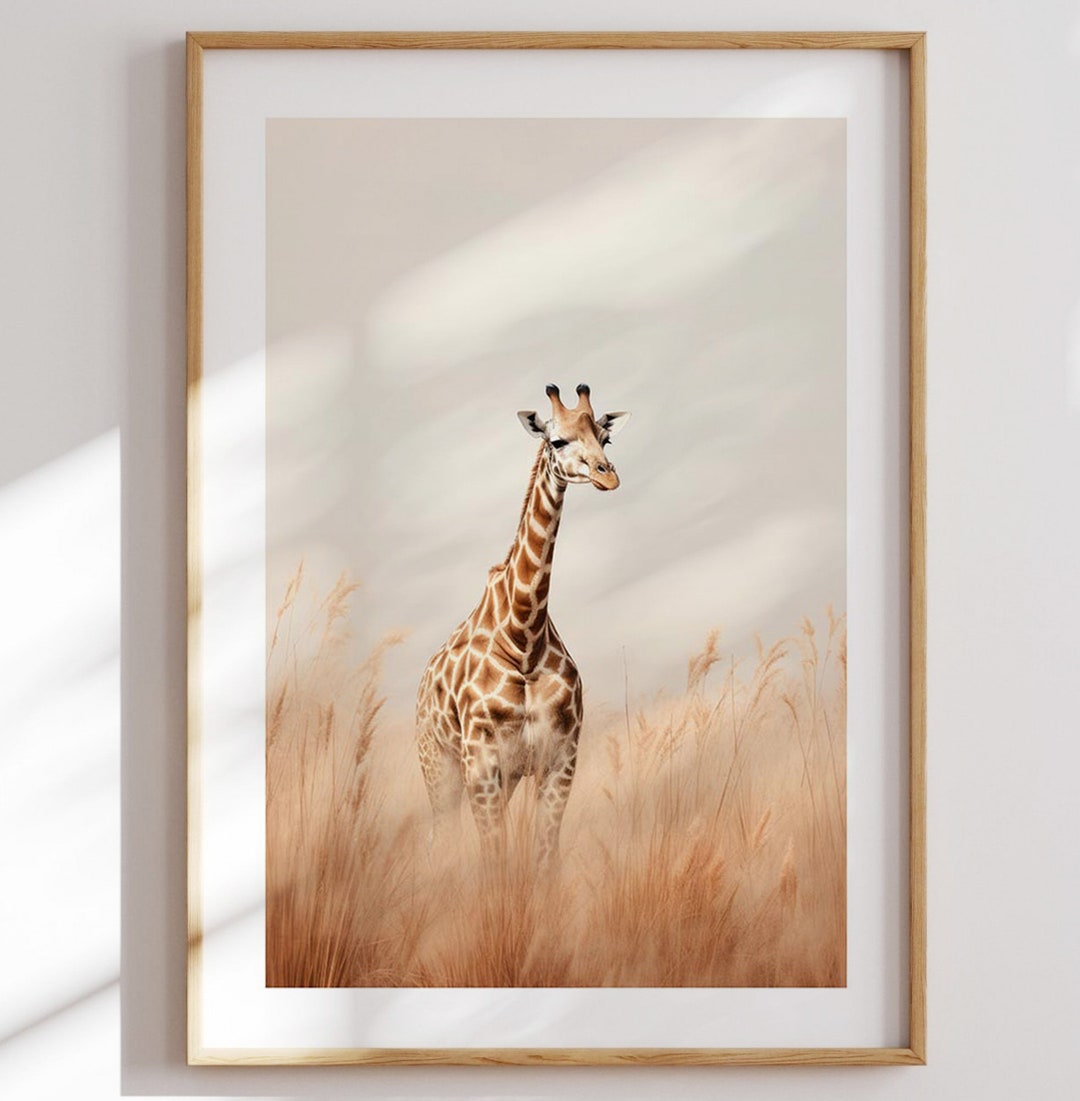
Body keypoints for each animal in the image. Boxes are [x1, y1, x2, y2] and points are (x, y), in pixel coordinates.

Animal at [415, 383, 630, 874]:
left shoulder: (558, 760)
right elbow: (495, 860)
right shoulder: (481, 767)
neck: (524, 639)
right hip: (440, 769)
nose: (608, 477)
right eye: (557, 440)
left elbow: (543, 857)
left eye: (605, 439)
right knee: (440, 840)